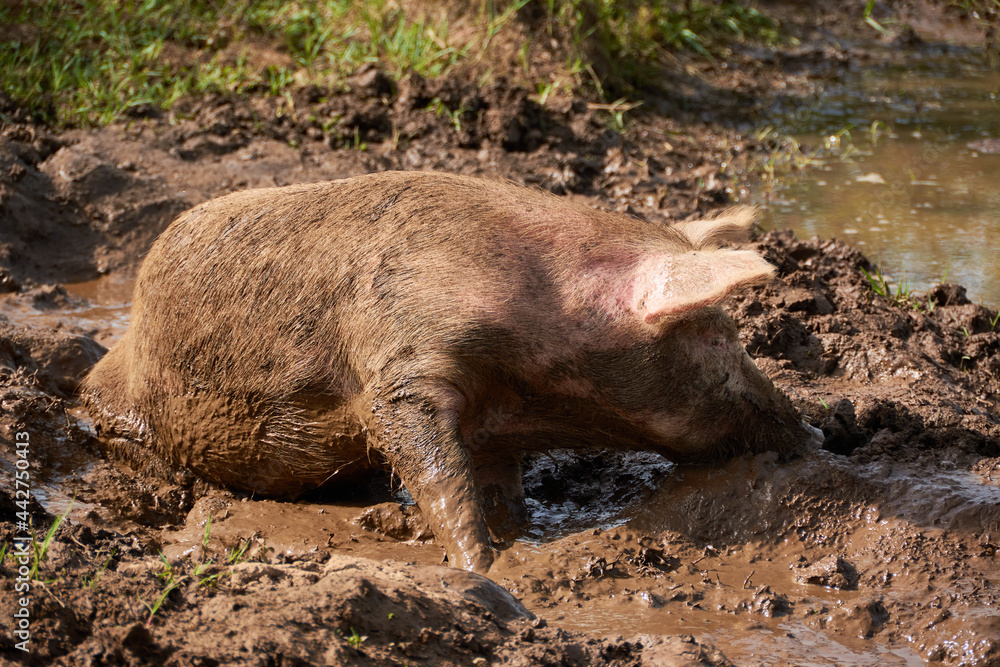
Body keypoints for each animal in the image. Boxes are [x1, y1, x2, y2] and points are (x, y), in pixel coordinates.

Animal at [82, 171, 822, 572]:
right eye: (719, 336)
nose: (813, 430)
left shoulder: (497, 421)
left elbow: (499, 485)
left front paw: (520, 539)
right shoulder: (403, 369)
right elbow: (439, 475)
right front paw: (484, 569)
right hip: (122, 405)